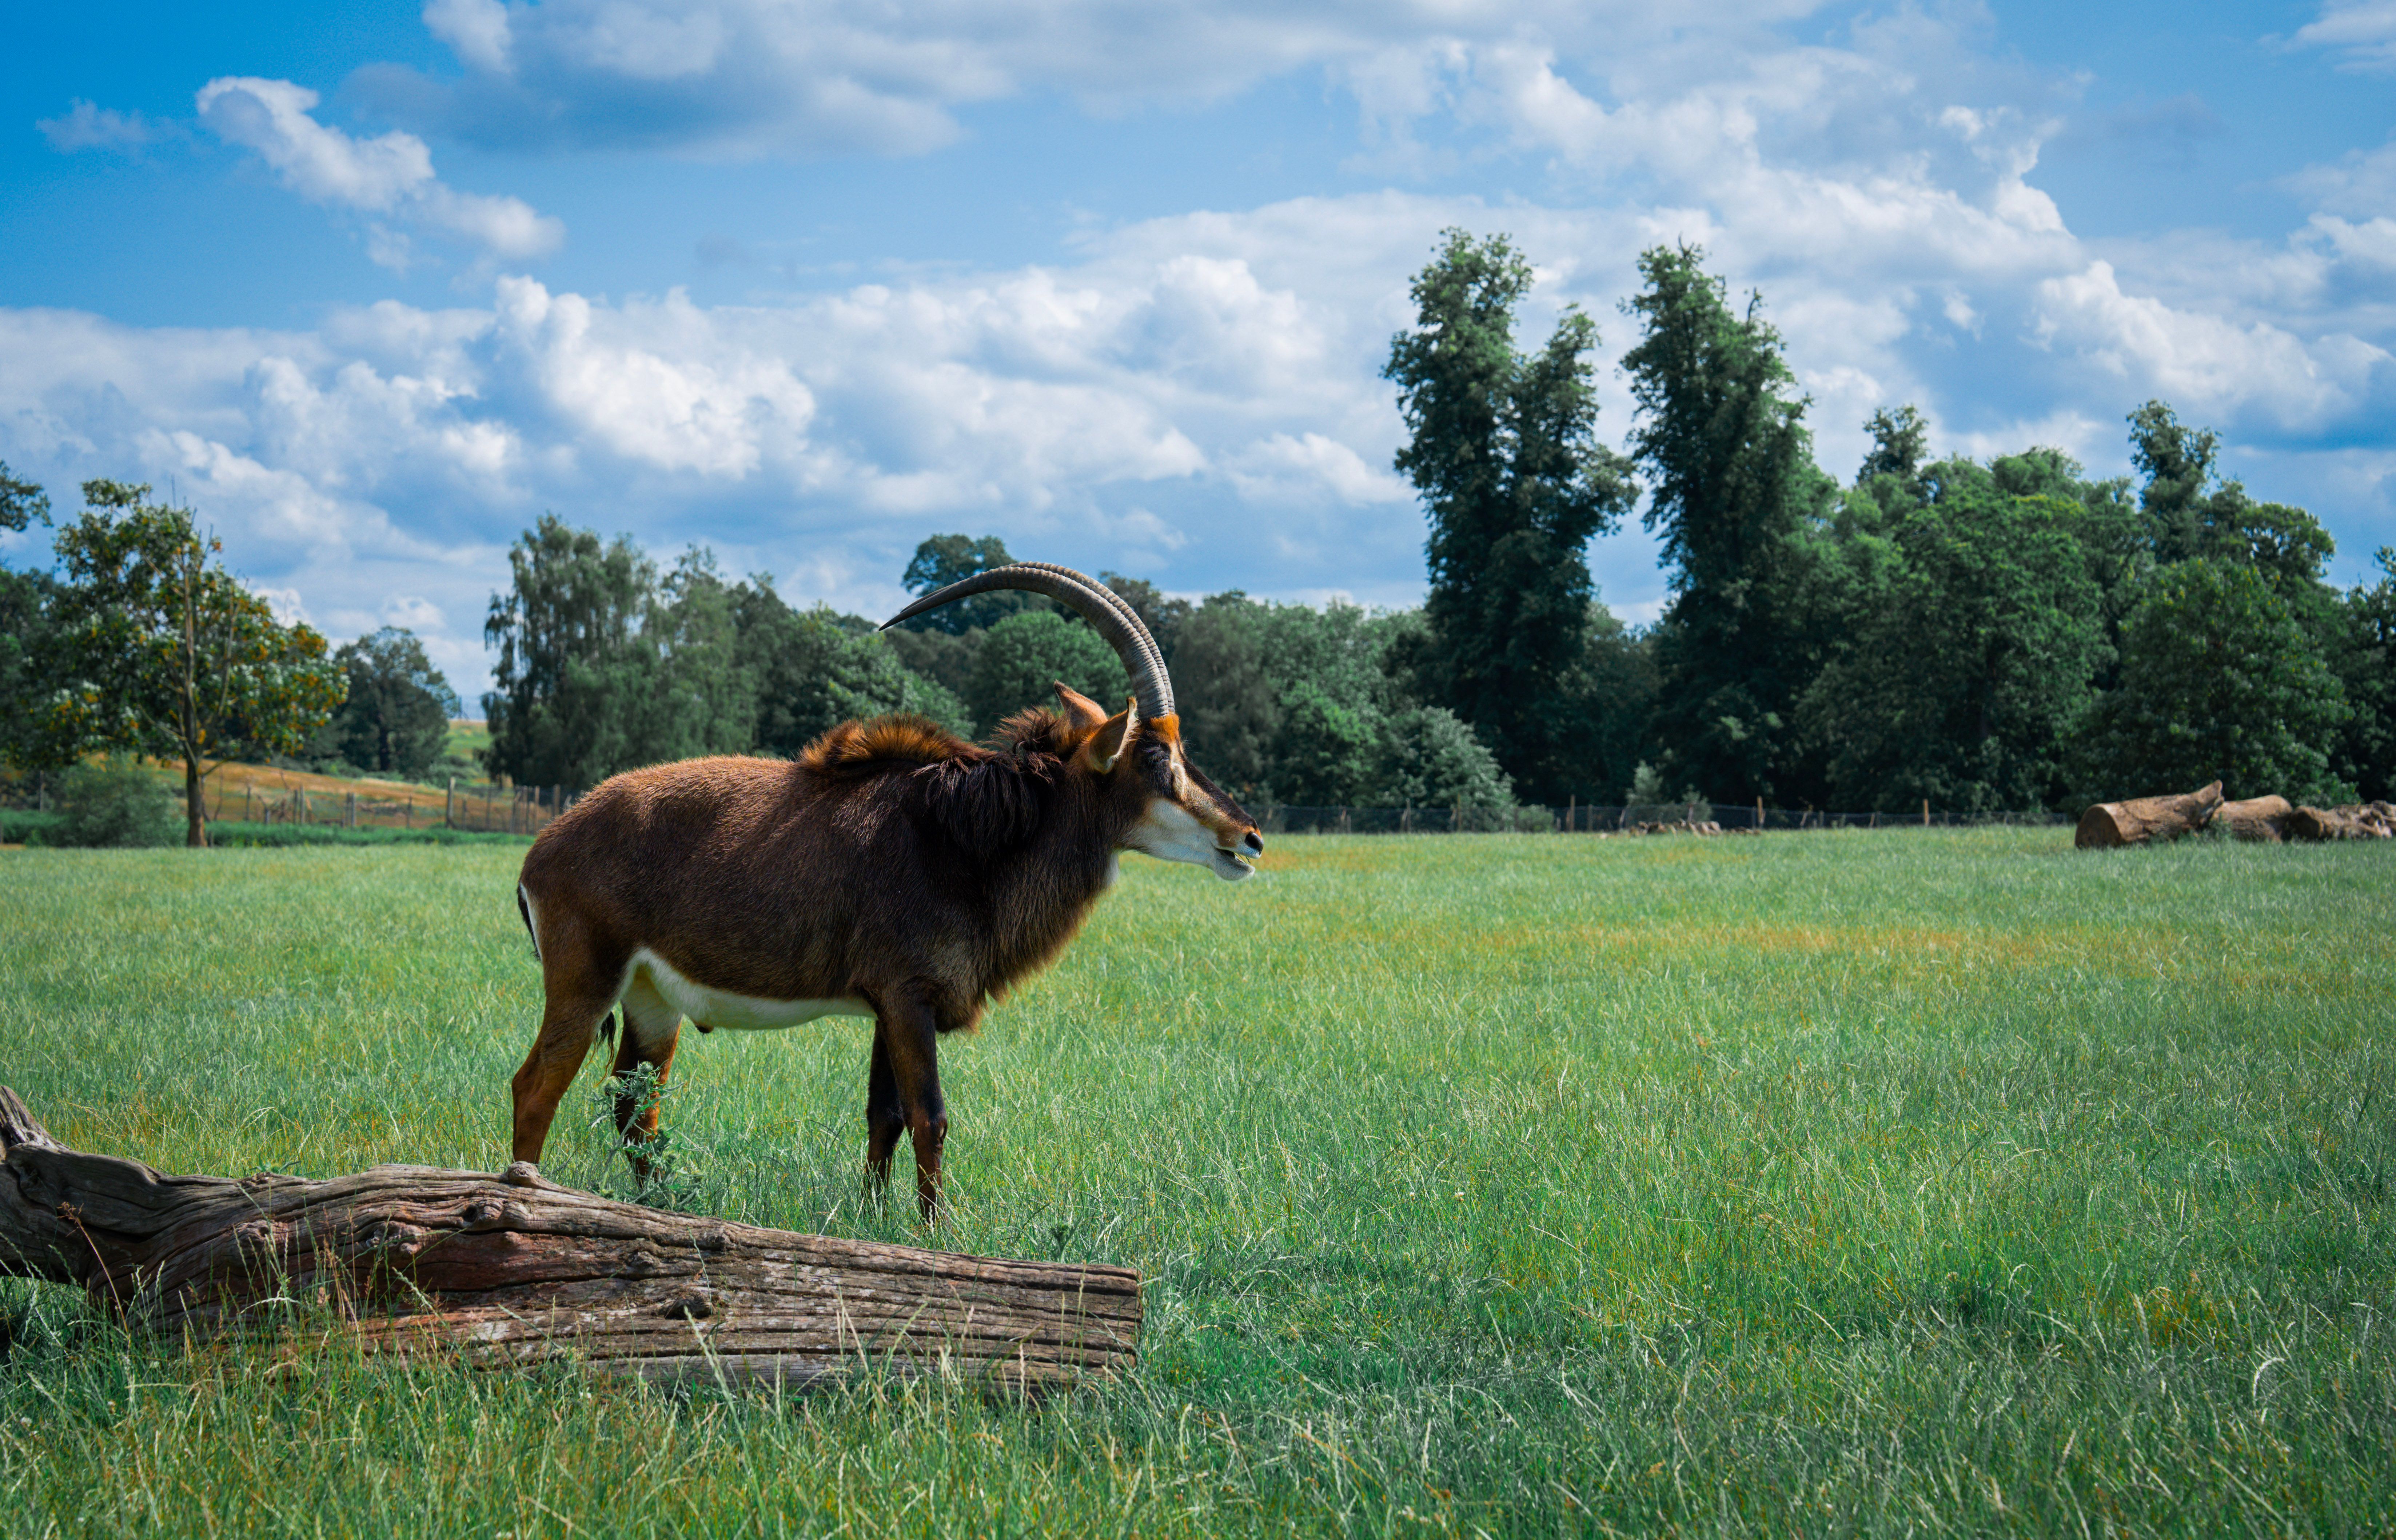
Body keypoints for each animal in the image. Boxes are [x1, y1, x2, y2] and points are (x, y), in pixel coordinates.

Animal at [506, 562, 1263, 1219]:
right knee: (538, 1085)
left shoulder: (888, 1004)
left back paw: (661, 1206)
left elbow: (885, 1114)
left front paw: (873, 1221)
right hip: (586, 980)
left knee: (634, 1104)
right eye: (1155, 754)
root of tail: (544, 849)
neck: (967, 832)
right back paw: (528, 1195)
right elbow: (930, 1117)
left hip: (652, 1000)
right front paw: (935, 1235)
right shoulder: (907, 998)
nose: (1250, 837)